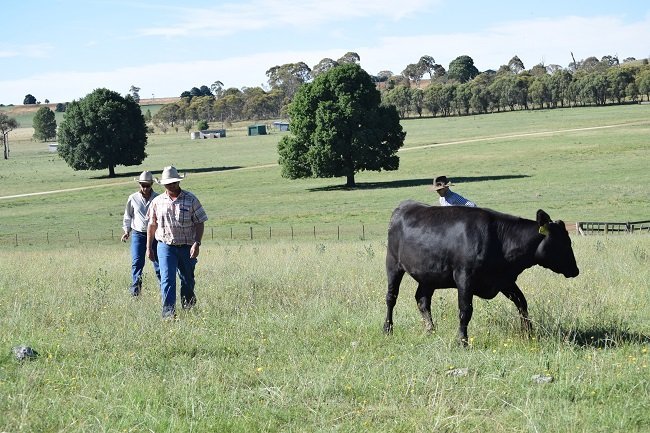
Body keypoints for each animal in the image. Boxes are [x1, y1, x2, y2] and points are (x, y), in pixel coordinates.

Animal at [384, 200, 579, 345]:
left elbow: (522, 303)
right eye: (562, 242)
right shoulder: (464, 277)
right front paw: (462, 341)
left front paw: (528, 333)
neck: (499, 238)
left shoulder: (504, 280)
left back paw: (430, 330)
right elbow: (465, 310)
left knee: (422, 300)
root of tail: (404, 206)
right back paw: (387, 328)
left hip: (429, 275)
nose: (575, 270)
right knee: (391, 298)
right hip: (393, 264)